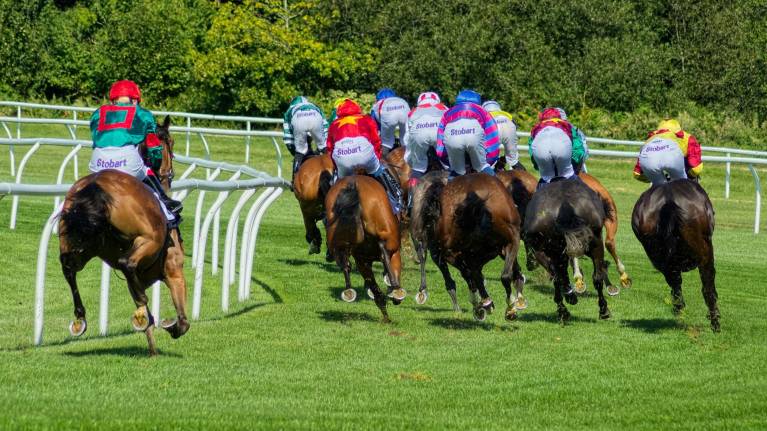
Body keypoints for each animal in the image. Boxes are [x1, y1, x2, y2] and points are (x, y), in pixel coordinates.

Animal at [58, 116, 188, 356]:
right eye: (170, 143)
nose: (169, 175)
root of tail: (96, 185)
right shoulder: (174, 269)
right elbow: (183, 320)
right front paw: (170, 326)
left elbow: (144, 315)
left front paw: (150, 340)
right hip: (148, 240)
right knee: (126, 262)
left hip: (79, 242)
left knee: (68, 267)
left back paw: (80, 318)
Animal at [325, 175, 406, 322]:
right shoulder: (395, 252)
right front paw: (394, 292)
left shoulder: (362, 261)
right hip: (389, 240)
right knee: (384, 252)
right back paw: (396, 291)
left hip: (339, 242)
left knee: (345, 263)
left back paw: (349, 290)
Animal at [523, 179, 611, 322]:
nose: (529, 264)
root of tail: (565, 204)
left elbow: (558, 276)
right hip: (595, 244)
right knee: (597, 277)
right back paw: (601, 310)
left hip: (552, 250)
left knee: (558, 277)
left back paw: (565, 307)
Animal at [631, 179, 719, 331]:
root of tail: (669, 199)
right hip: (705, 251)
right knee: (708, 287)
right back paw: (715, 324)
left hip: (656, 255)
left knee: (675, 285)